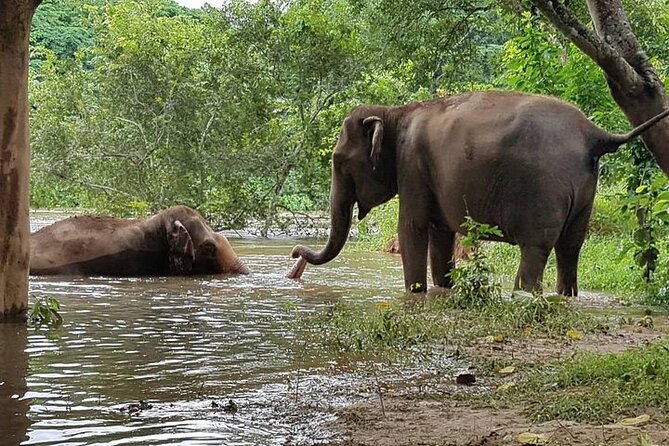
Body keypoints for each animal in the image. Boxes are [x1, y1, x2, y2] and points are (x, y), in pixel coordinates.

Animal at [288, 90, 669, 295]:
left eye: (338, 161)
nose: (295, 256)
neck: (395, 112)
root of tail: (594, 134)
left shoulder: (412, 165)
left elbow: (412, 228)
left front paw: (414, 293)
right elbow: (440, 234)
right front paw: (443, 289)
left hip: (545, 189)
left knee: (537, 246)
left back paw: (523, 295)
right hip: (587, 188)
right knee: (571, 246)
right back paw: (566, 296)